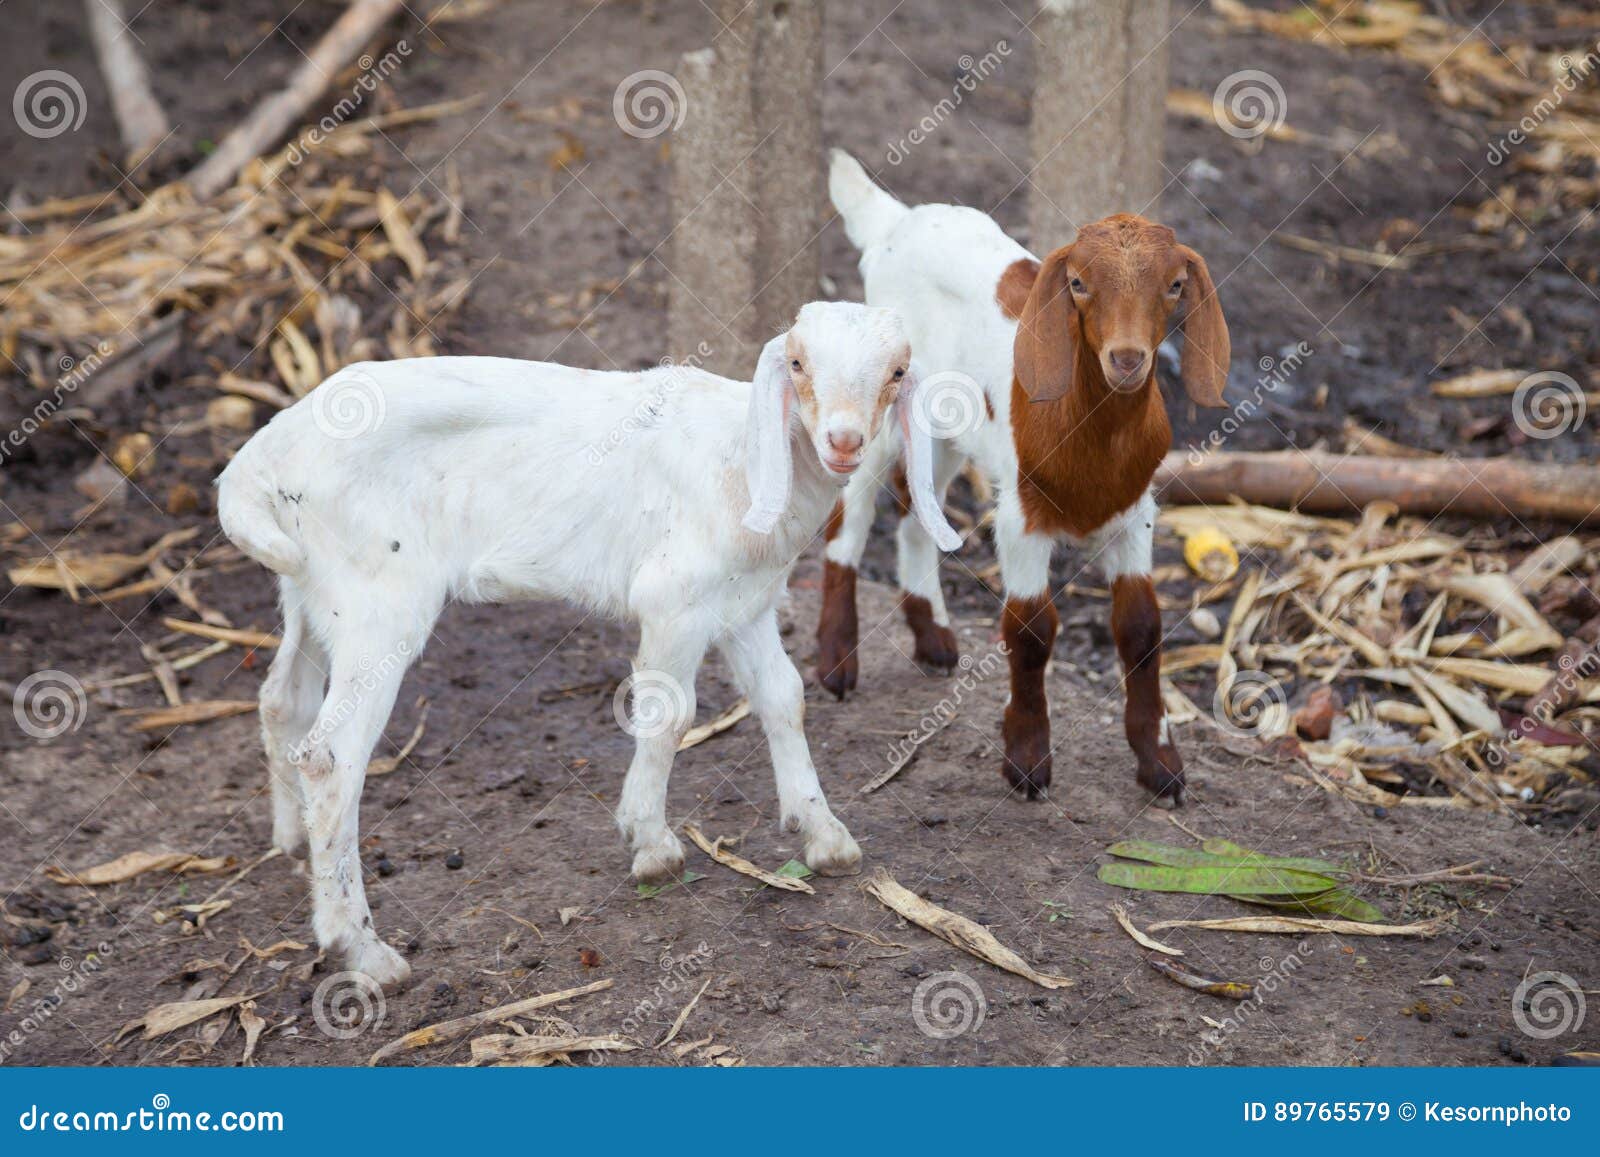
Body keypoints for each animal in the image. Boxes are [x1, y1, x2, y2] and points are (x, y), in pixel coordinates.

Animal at [216, 301, 957, 985]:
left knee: (281, 700)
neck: (743, 462)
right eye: (799, 363)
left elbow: (785, 698)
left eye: (896, 372)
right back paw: (362, 948)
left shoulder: (744, 605)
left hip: (312, 590)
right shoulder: (674, 599)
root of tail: (259, 461)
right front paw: (651, 843)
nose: (844, 440)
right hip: (380, 602)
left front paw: (823, 832)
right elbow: (671, 715)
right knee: (331, 757)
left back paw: (292, 843)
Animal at [820, 150, 1230, 808]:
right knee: (850, 517)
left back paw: (933, 637)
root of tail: (898, 221)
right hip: (879, 410)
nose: (1127, 358)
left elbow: (1141, 629)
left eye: (1174, 286)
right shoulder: (1022, 517)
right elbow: (1033, 631)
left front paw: (1161, 764)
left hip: (945, 426)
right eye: (1078, 284)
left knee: (915, 512)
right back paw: (836, 664)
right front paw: (1027, 761)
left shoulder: (1135, 513)